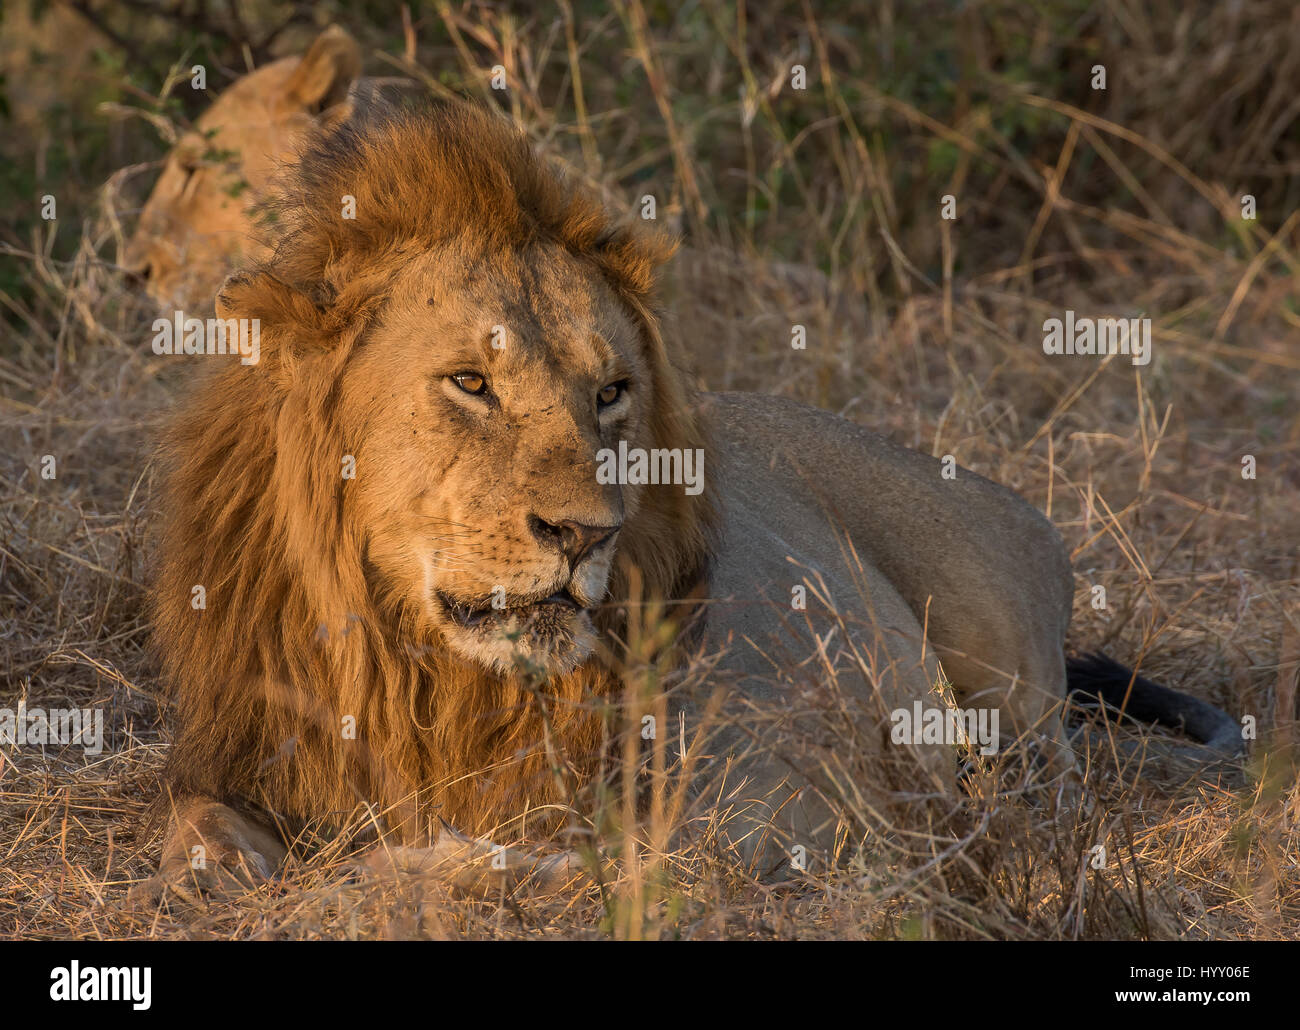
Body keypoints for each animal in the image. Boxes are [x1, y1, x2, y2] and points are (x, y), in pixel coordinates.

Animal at [133, 95, 1244, 900]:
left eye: (610, 392)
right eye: (470, 383)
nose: (584, 533)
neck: (428, 676)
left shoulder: (781, 808)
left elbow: (553, 856)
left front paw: (396, 870)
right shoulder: (241, 744)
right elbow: (190, 814)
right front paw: (224, 864)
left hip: (1002, 666)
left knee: (1039, 787)